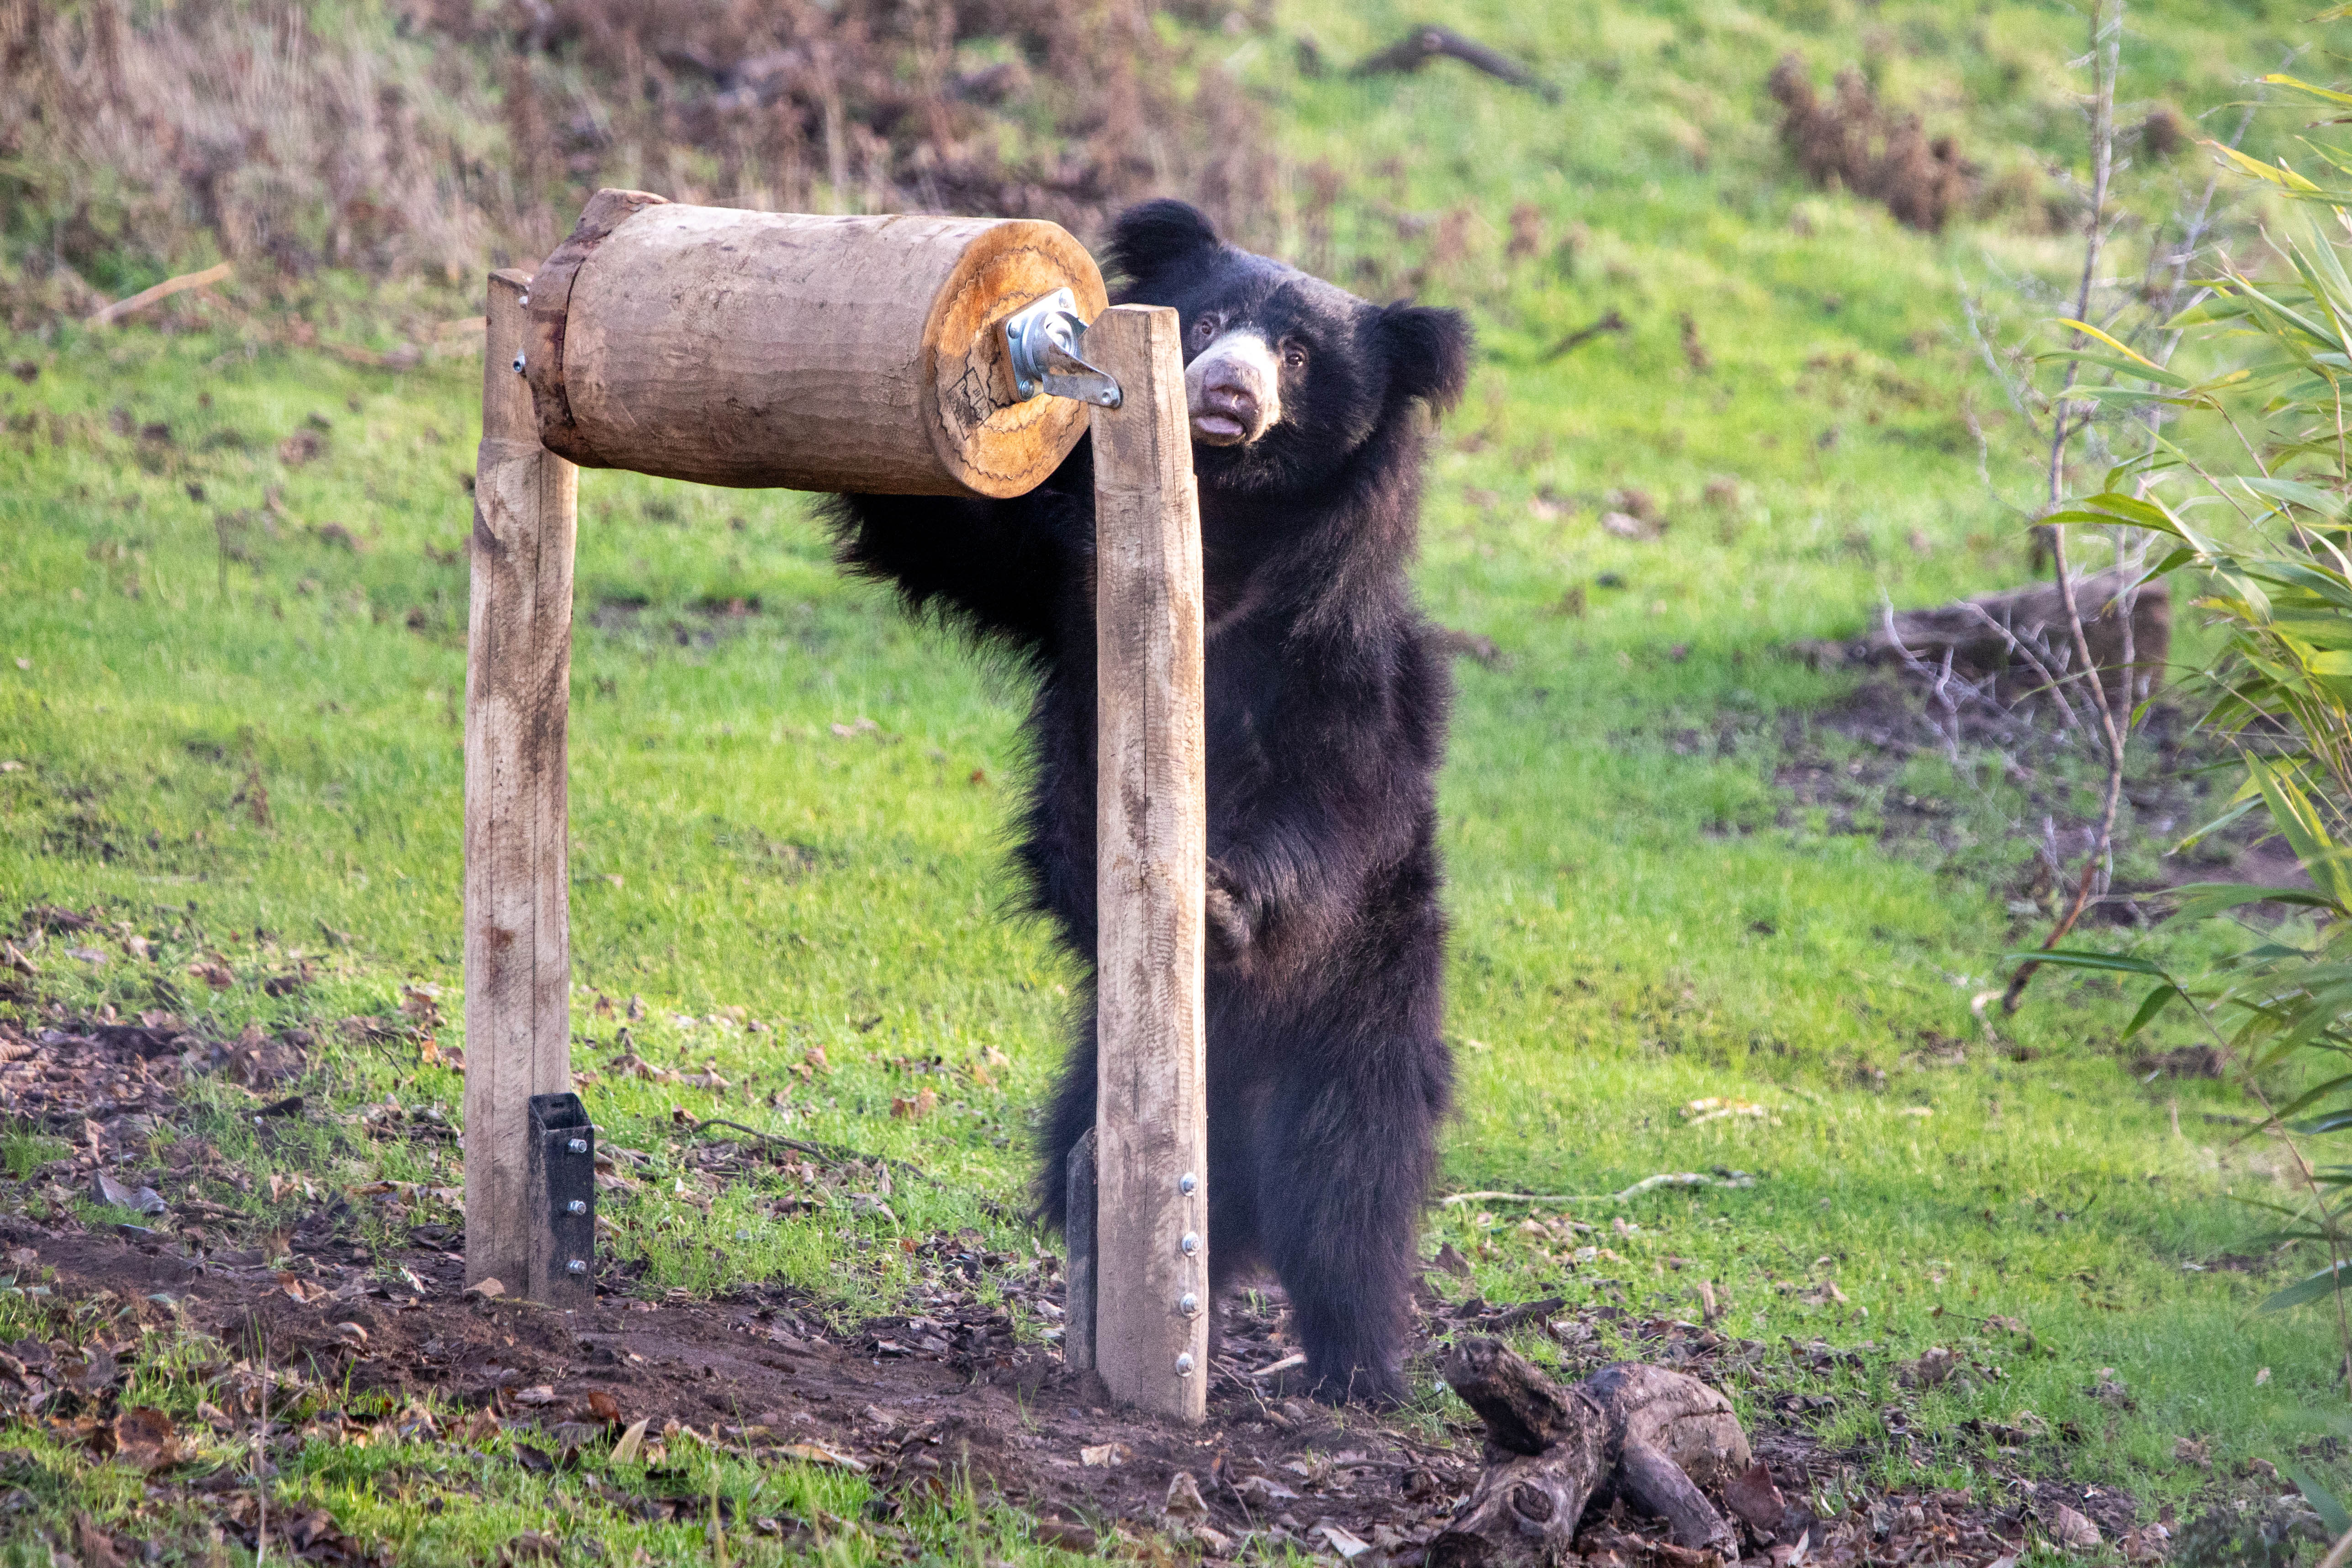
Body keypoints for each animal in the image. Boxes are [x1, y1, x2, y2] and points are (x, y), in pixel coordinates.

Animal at [823, 198, 1468, 1404]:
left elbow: (1330, 810)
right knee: (1090, 1167)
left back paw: (1354, 1370)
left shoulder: (1343, 672)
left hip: (1362, 1013)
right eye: (1207, 323)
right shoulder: (1053, 578)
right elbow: (942, 531)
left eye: (1297, 356)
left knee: (1347, 1189)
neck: (1233, 533)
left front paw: (1220, 898)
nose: (1226, 392)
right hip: (1109, 1070)